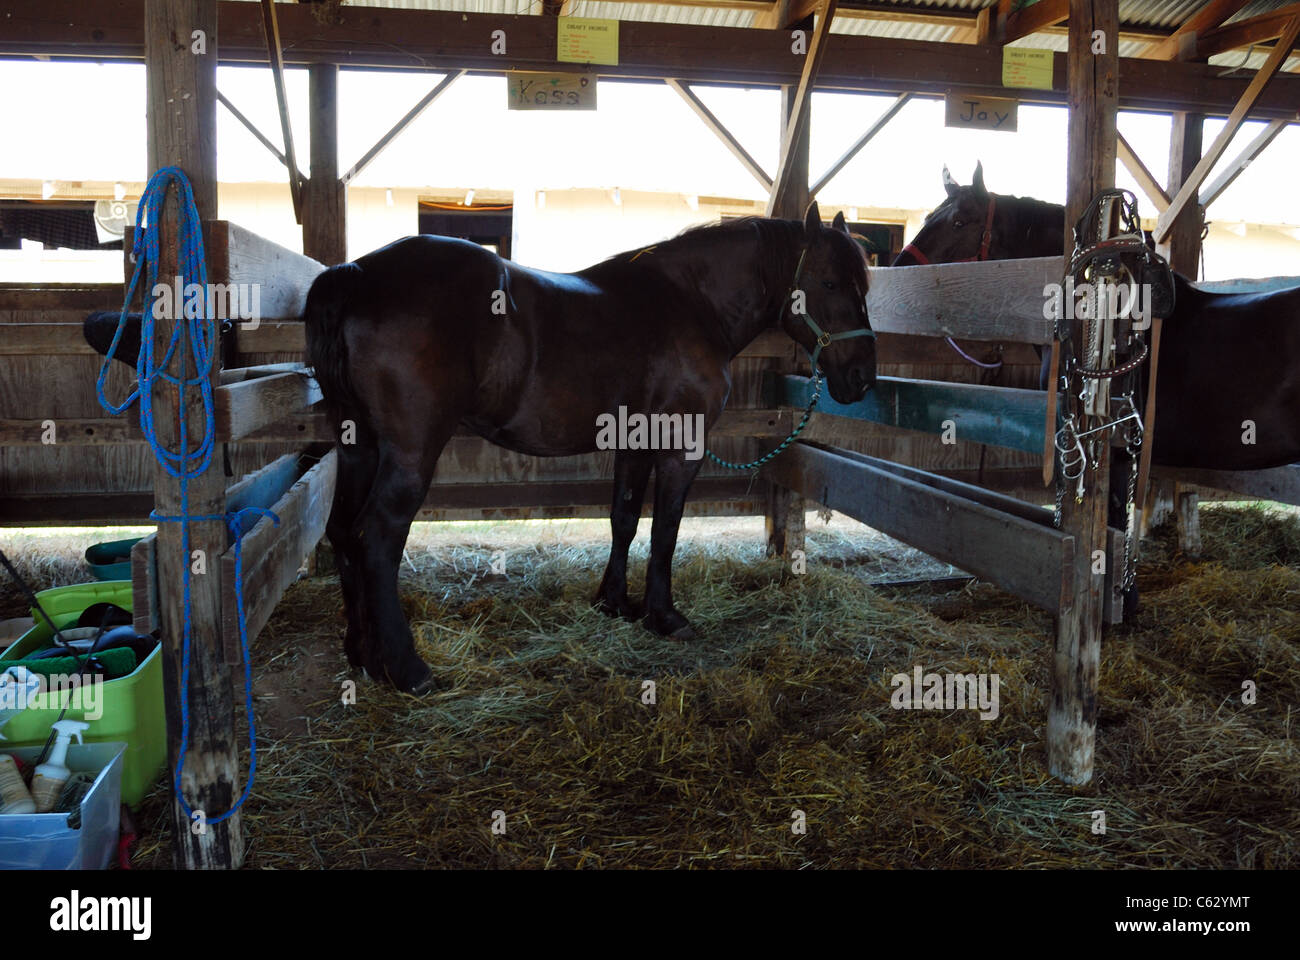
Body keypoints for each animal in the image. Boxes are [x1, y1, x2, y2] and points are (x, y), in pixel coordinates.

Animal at [304, 203, 877, 692]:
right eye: (829, 281)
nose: (862, 379)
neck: (691, 301)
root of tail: (359, 274)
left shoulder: (634, 441)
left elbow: (624, 519)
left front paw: (614, 602)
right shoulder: (680, 444)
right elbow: (666, 527)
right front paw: (664, 616)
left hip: (359, 446)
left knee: (344, 532)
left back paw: (363, 654)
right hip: (409, 454)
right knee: (377, 538)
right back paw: (408, 668)